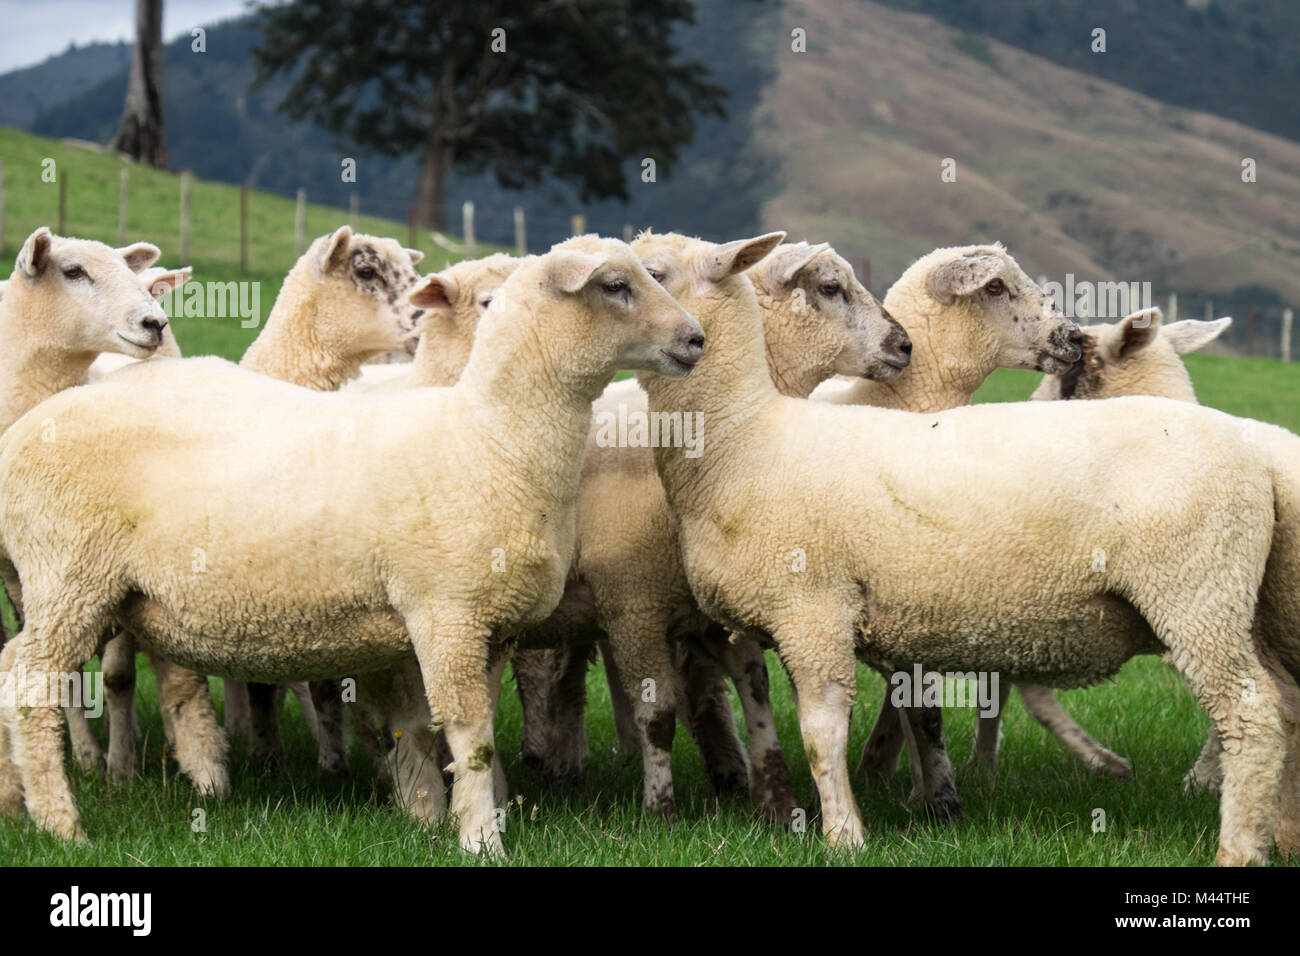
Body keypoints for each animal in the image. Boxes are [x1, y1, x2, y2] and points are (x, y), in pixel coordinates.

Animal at [0, 236, 706, 854]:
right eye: (615, 286)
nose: (696, 339)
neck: (490, 438)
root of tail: (31, 425)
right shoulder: (446, 613)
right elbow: (472, 740)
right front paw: (482, 841)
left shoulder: (492, 628)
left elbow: (427, 732)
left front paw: (435, 819)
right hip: (68, 574)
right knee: (31, 683)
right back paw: (63, 826)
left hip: (90, 589)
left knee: (18, 670)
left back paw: (16, 802)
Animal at [629, 231, 1294, 866]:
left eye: (654, 274)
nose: (1070, 339)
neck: (744, 436)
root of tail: (1255, 449)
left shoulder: (813, 610)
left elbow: (822, 732)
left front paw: (845, 836)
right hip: (1253, 606)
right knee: (1288, 705)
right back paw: (1282, 835)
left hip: (1197, 594)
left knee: (1253, 715)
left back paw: (1238, 849)